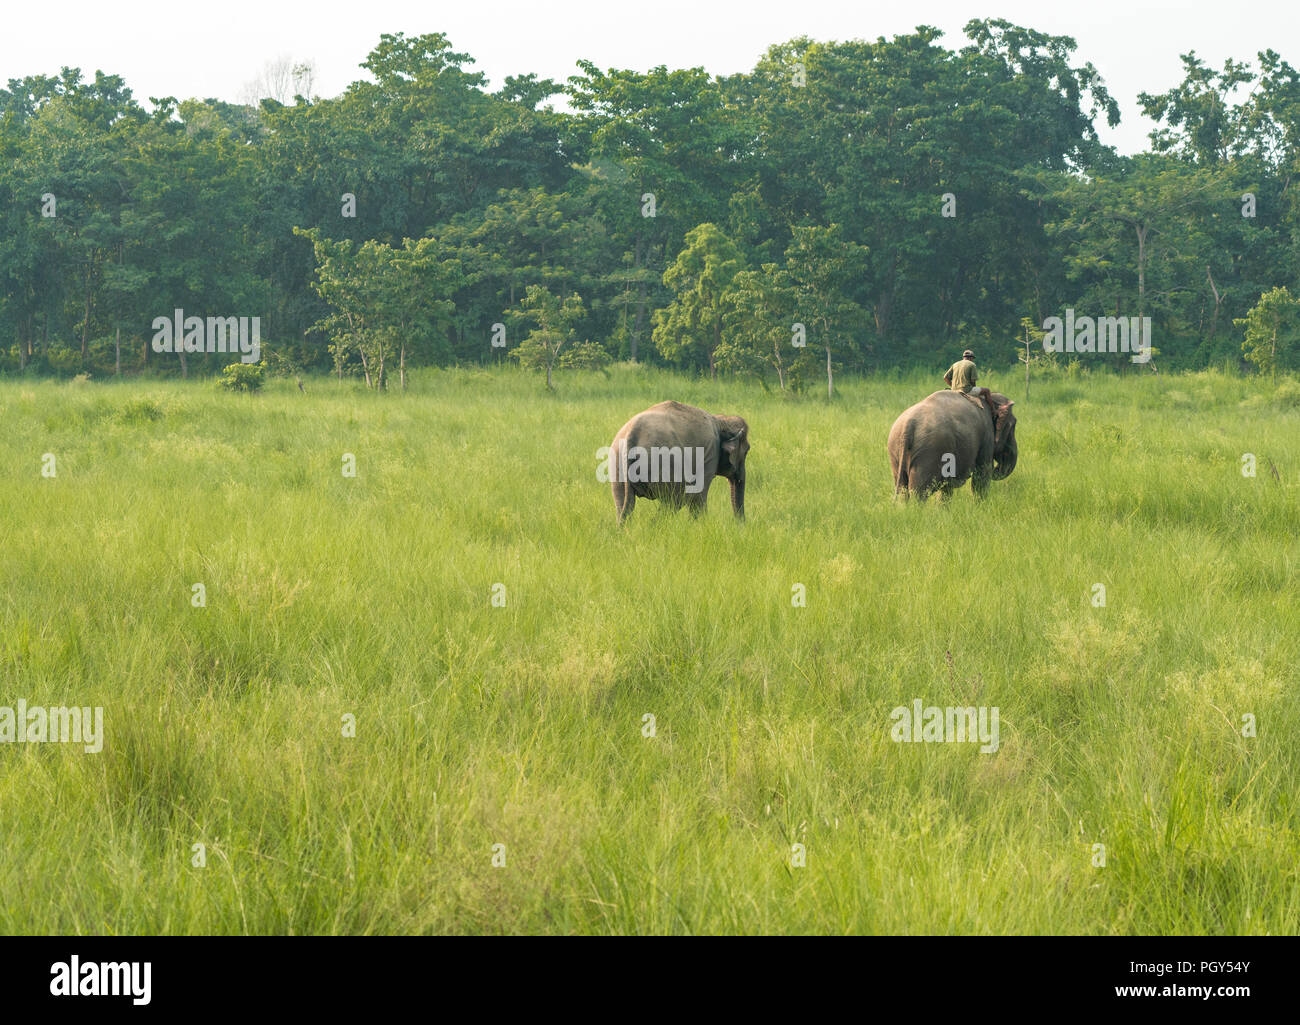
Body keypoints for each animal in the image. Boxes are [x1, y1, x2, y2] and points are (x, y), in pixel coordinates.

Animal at [608, 400, 750, 524]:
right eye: (747, 451)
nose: (740, 525)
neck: (721, 421)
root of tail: (632, 433)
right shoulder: (710, 455)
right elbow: (699, 495)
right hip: (662, 465)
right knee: (672, 501)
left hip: (617, 465)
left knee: (623, 503)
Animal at [887, 390, 1018, 500]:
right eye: (1013, 425)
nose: (997, 469)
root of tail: (909, 424)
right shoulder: (987, 434)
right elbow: (983, 471)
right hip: (930, 452)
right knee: (919, 492)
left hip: (896, 450)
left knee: (902, 490)